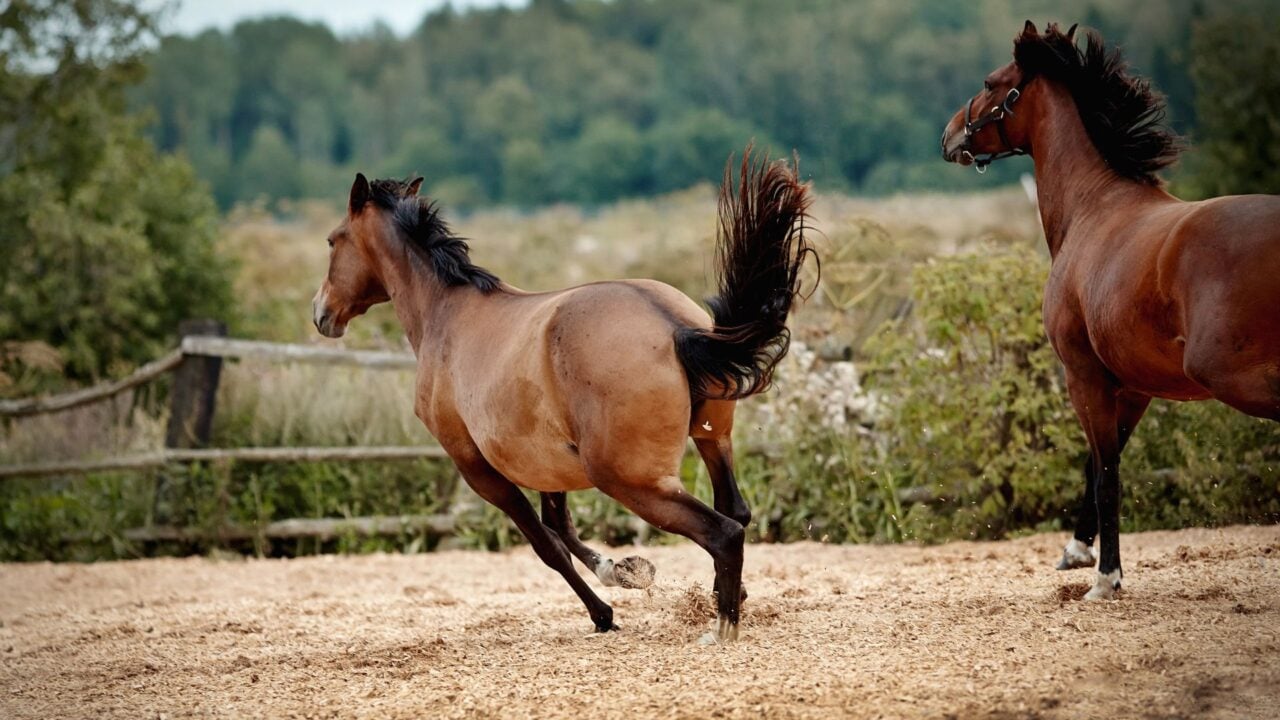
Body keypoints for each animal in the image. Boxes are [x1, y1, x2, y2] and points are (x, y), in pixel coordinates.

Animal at [311, 149, 814, 641]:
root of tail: (676, 327)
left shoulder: (477, 467)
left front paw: (604, 611)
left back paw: (723, 627)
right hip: (712, 440)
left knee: (722, 531)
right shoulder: (547, 463)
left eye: (333, 241)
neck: (447, 314)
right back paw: (728, 599)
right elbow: (560, 527)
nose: (321, 313)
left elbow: (546, 545)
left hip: (630, 479)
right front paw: (622, 570)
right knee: (737, 512)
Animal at [941, 21, 1280, 600]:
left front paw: (1105, 577)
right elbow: (1099, 463)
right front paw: (1077, 552)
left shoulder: (1083, 375)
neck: (1091, 207)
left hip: (1233, 375)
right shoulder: (1135, 387)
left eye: (990, 82)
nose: (948, 136)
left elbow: (1106, 475)